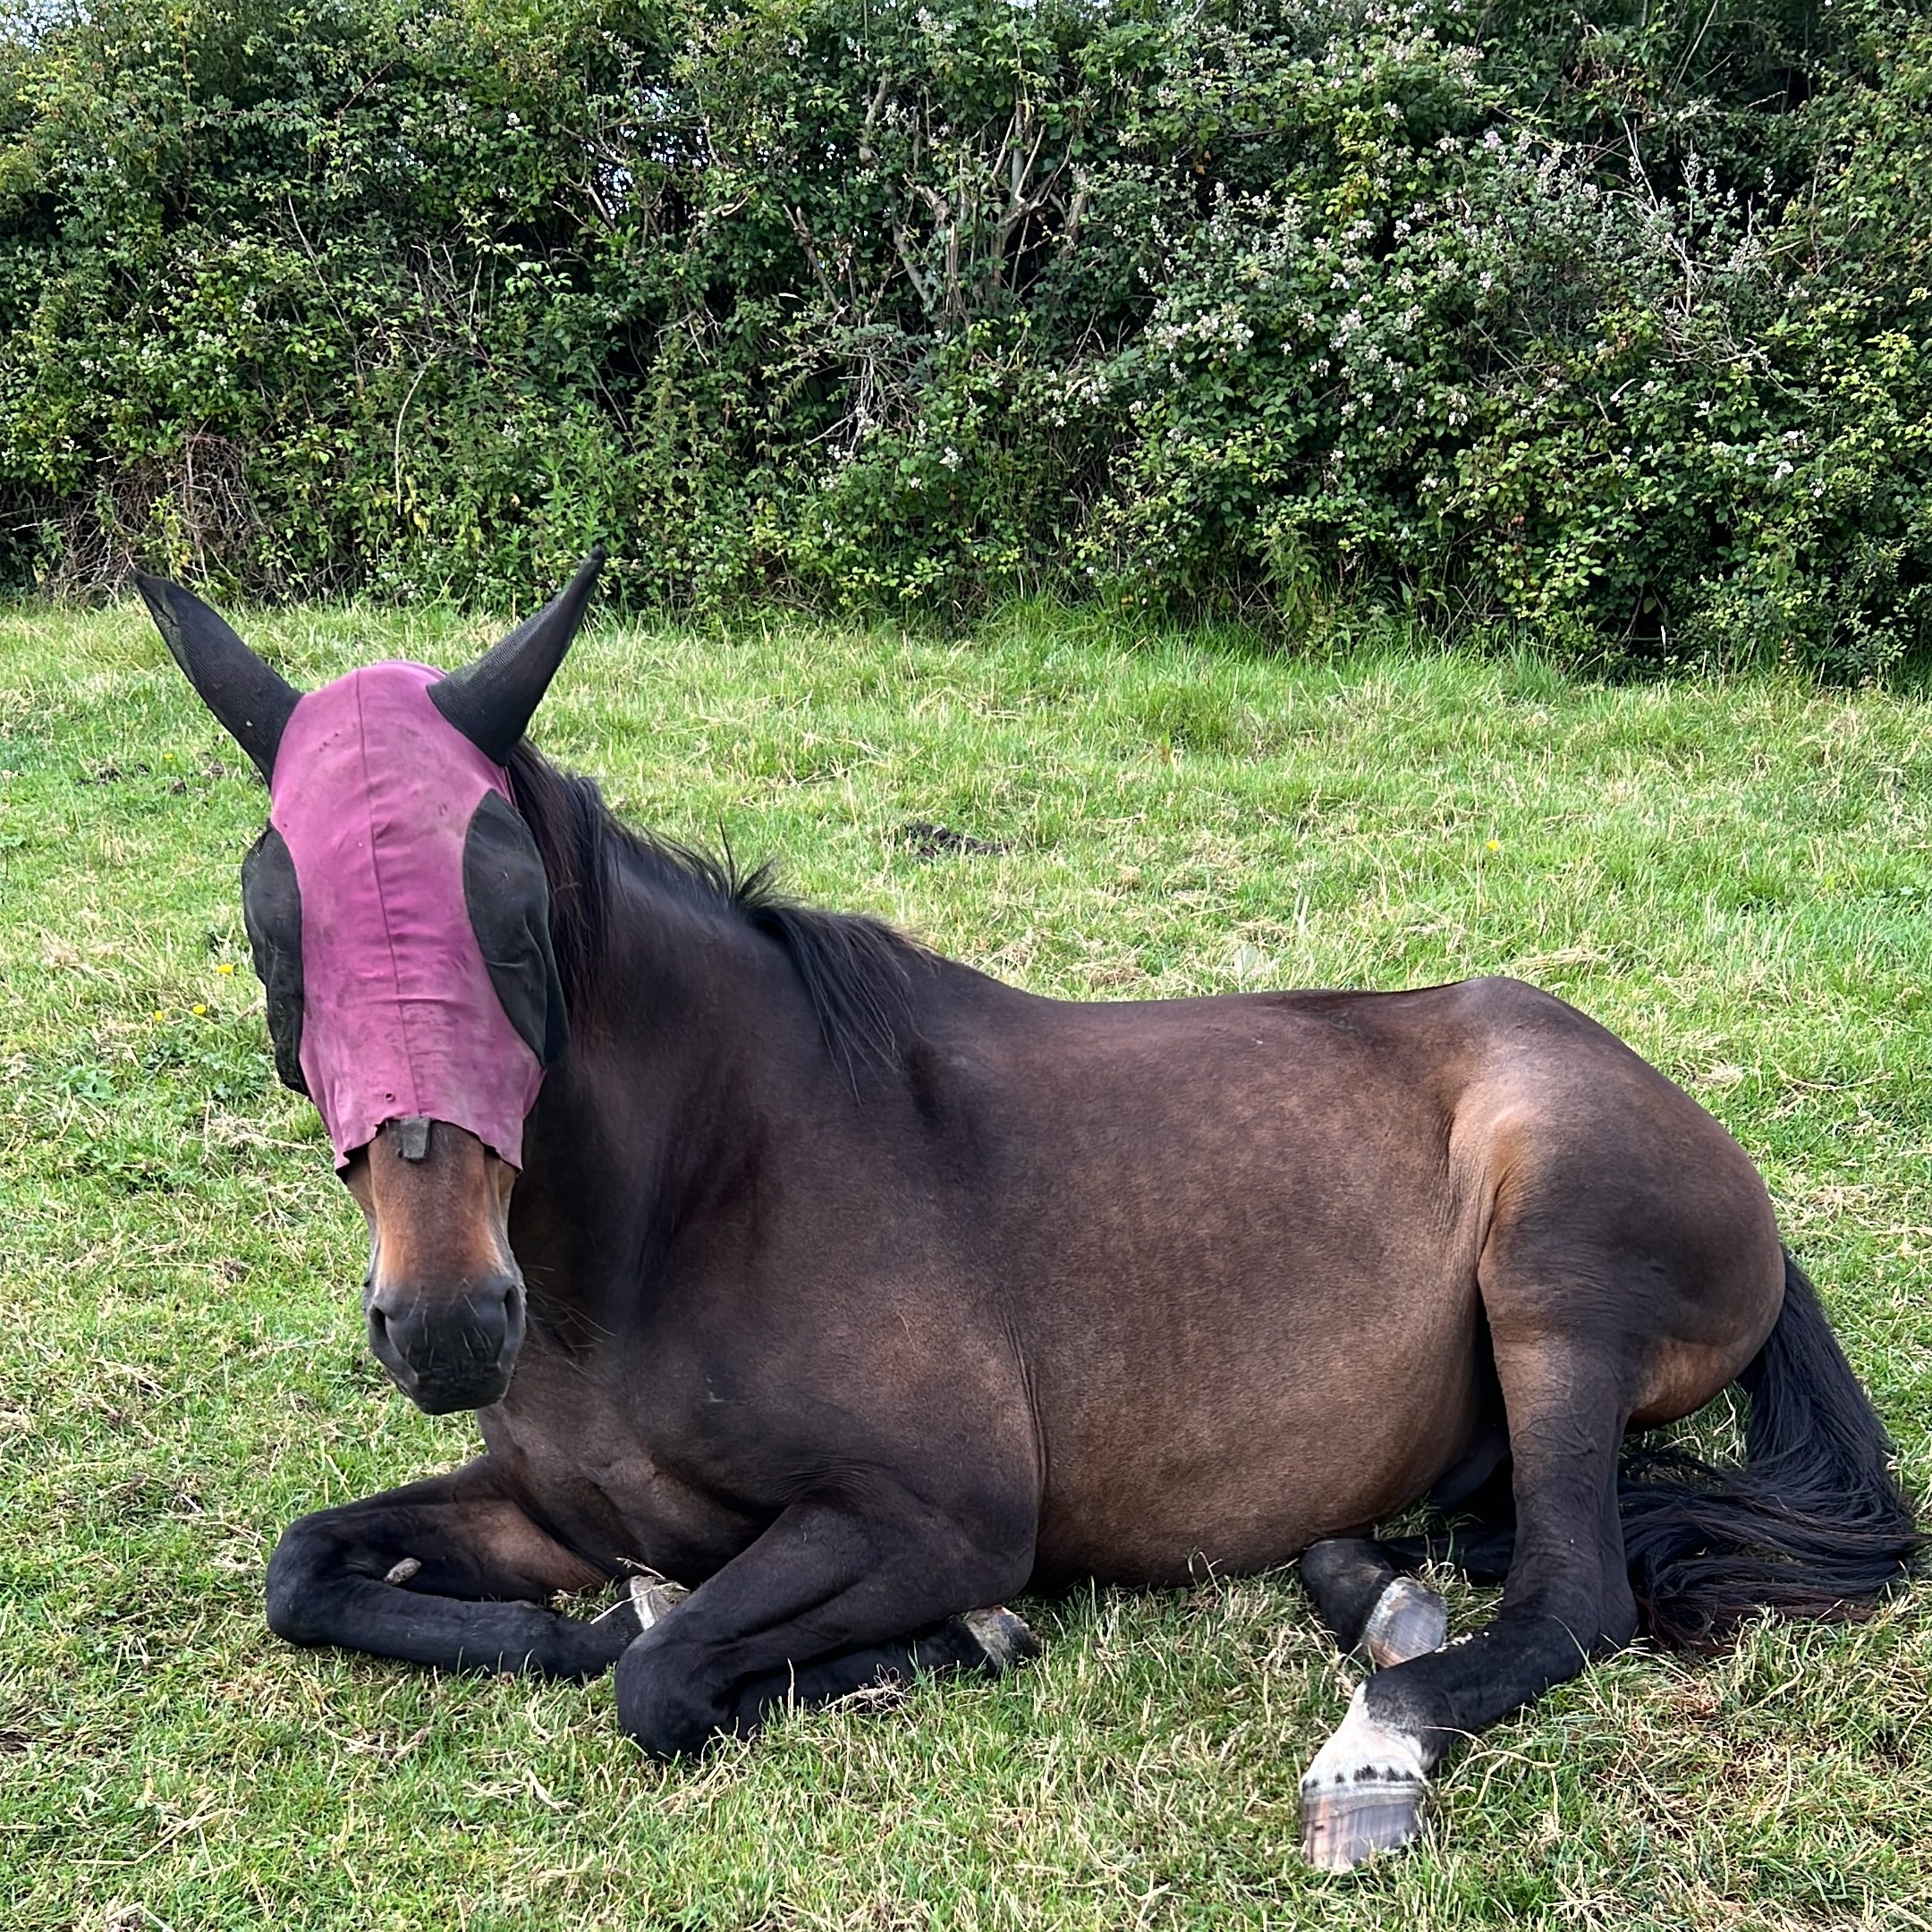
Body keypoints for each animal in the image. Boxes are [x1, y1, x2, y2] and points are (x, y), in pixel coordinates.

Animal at [138, 551, 1920, 1870]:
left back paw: (1373, 1751)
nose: (445, 1324)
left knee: (1570, 1597)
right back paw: (1369, 1589)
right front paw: (573, 1630)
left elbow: (669, 1673)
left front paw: (951, 1642)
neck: (677, 1220)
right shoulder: (548, 1510)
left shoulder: (937, 1517)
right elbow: (313, 1575)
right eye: (271, 926)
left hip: (1552, 1274)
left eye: (513, 924)